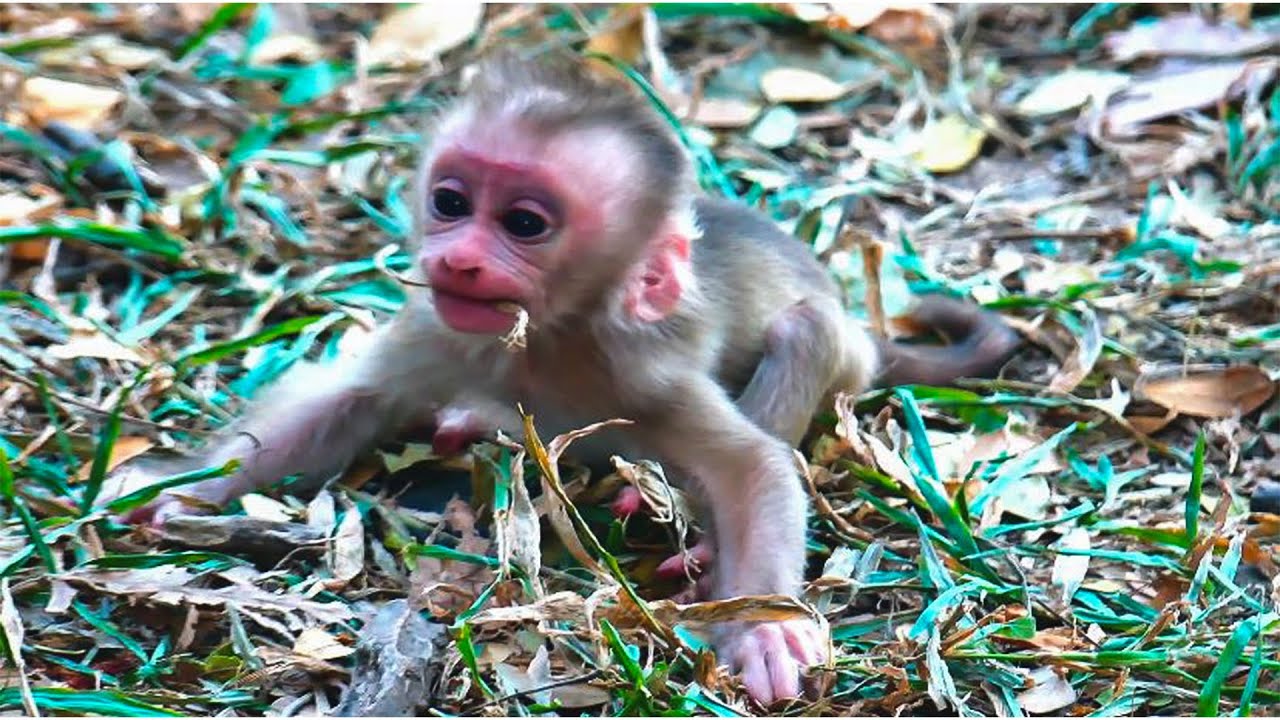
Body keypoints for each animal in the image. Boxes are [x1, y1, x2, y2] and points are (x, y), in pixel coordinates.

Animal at [101, 54, 1019, 705]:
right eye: (449, 201)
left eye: (523, 223)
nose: (459, 259)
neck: (544, 343)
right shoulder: (439, 326)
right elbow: (348, 398)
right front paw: (184, 490)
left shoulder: (642, 366)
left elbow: (750, 469)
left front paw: (760, 630)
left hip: (842, 353)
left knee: (805, 332)